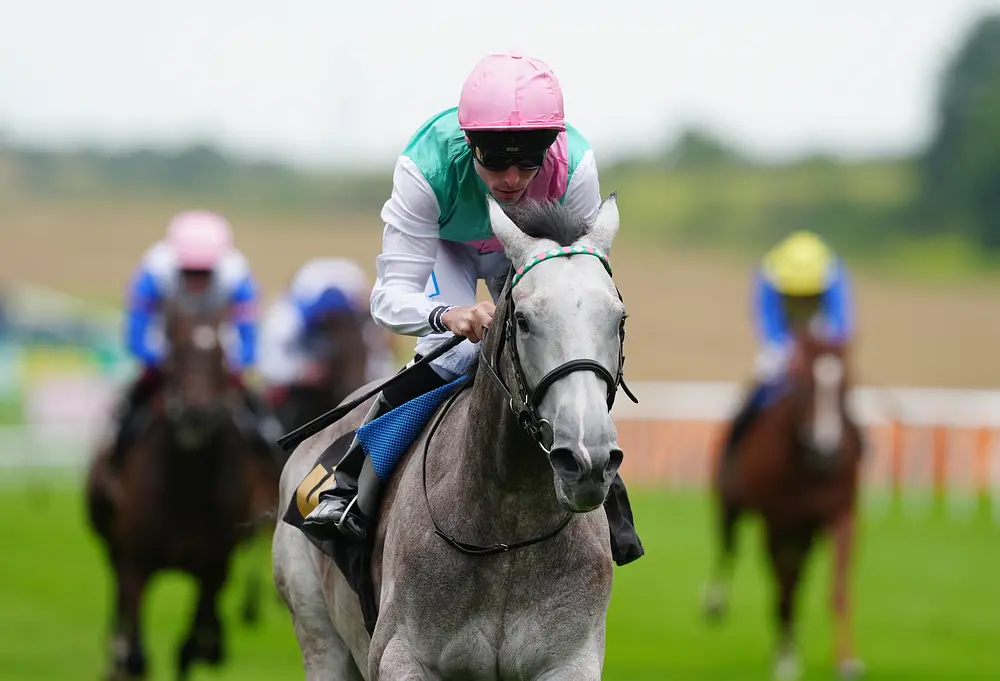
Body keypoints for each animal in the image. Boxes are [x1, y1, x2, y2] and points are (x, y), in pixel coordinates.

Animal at [85, 287, 283, 681]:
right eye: (173, 348)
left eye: (221, 354)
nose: (196, 414)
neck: (189, 484)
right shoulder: (134, 562)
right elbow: (134, 653)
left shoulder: (214, 567)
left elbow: (189, 650)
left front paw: (210, 644)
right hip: (112, 547)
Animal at [273, 194, 633, 680]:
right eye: (523, 320)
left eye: (619, 319)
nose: (587, 459)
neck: (508, 533)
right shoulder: (401, 655)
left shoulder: (569, 660)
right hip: (318, 632)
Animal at [703, 325, 865, 681]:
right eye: (804, 384)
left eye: (846, 384)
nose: (827, 451)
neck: (808, 468)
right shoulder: (777, 521)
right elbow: (783, 585)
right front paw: (785, 660)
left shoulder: (841, 515)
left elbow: (837, 587)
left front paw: (847, 660)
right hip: (731, 504)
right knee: (728, 546)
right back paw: (714, 603)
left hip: (805, 531)